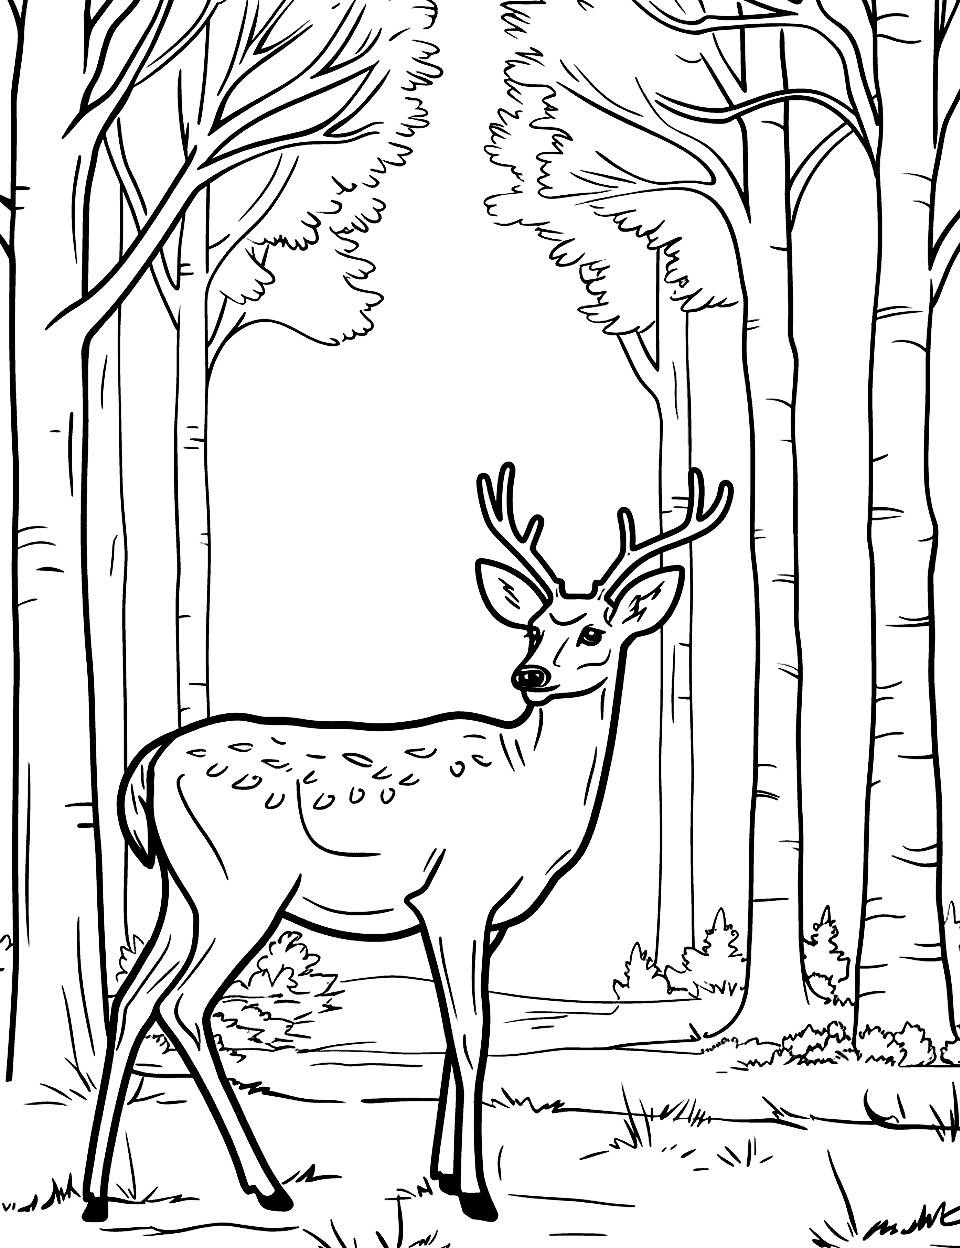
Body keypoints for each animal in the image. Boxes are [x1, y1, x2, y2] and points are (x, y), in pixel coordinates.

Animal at [82, 462, 732, 1226]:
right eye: (534, 628)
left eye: (595, 632)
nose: (530, 676)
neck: (534, 791)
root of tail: (146, 766)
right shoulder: (455, 898)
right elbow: (473, 1031)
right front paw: (479, 1194)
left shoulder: (488, 918)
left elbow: (458, 1032)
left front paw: (444, 1174)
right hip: (239, 885)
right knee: (184, 1002)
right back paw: (267, 1186)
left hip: (182, 890)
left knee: (133, 997)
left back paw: (99, 1194)